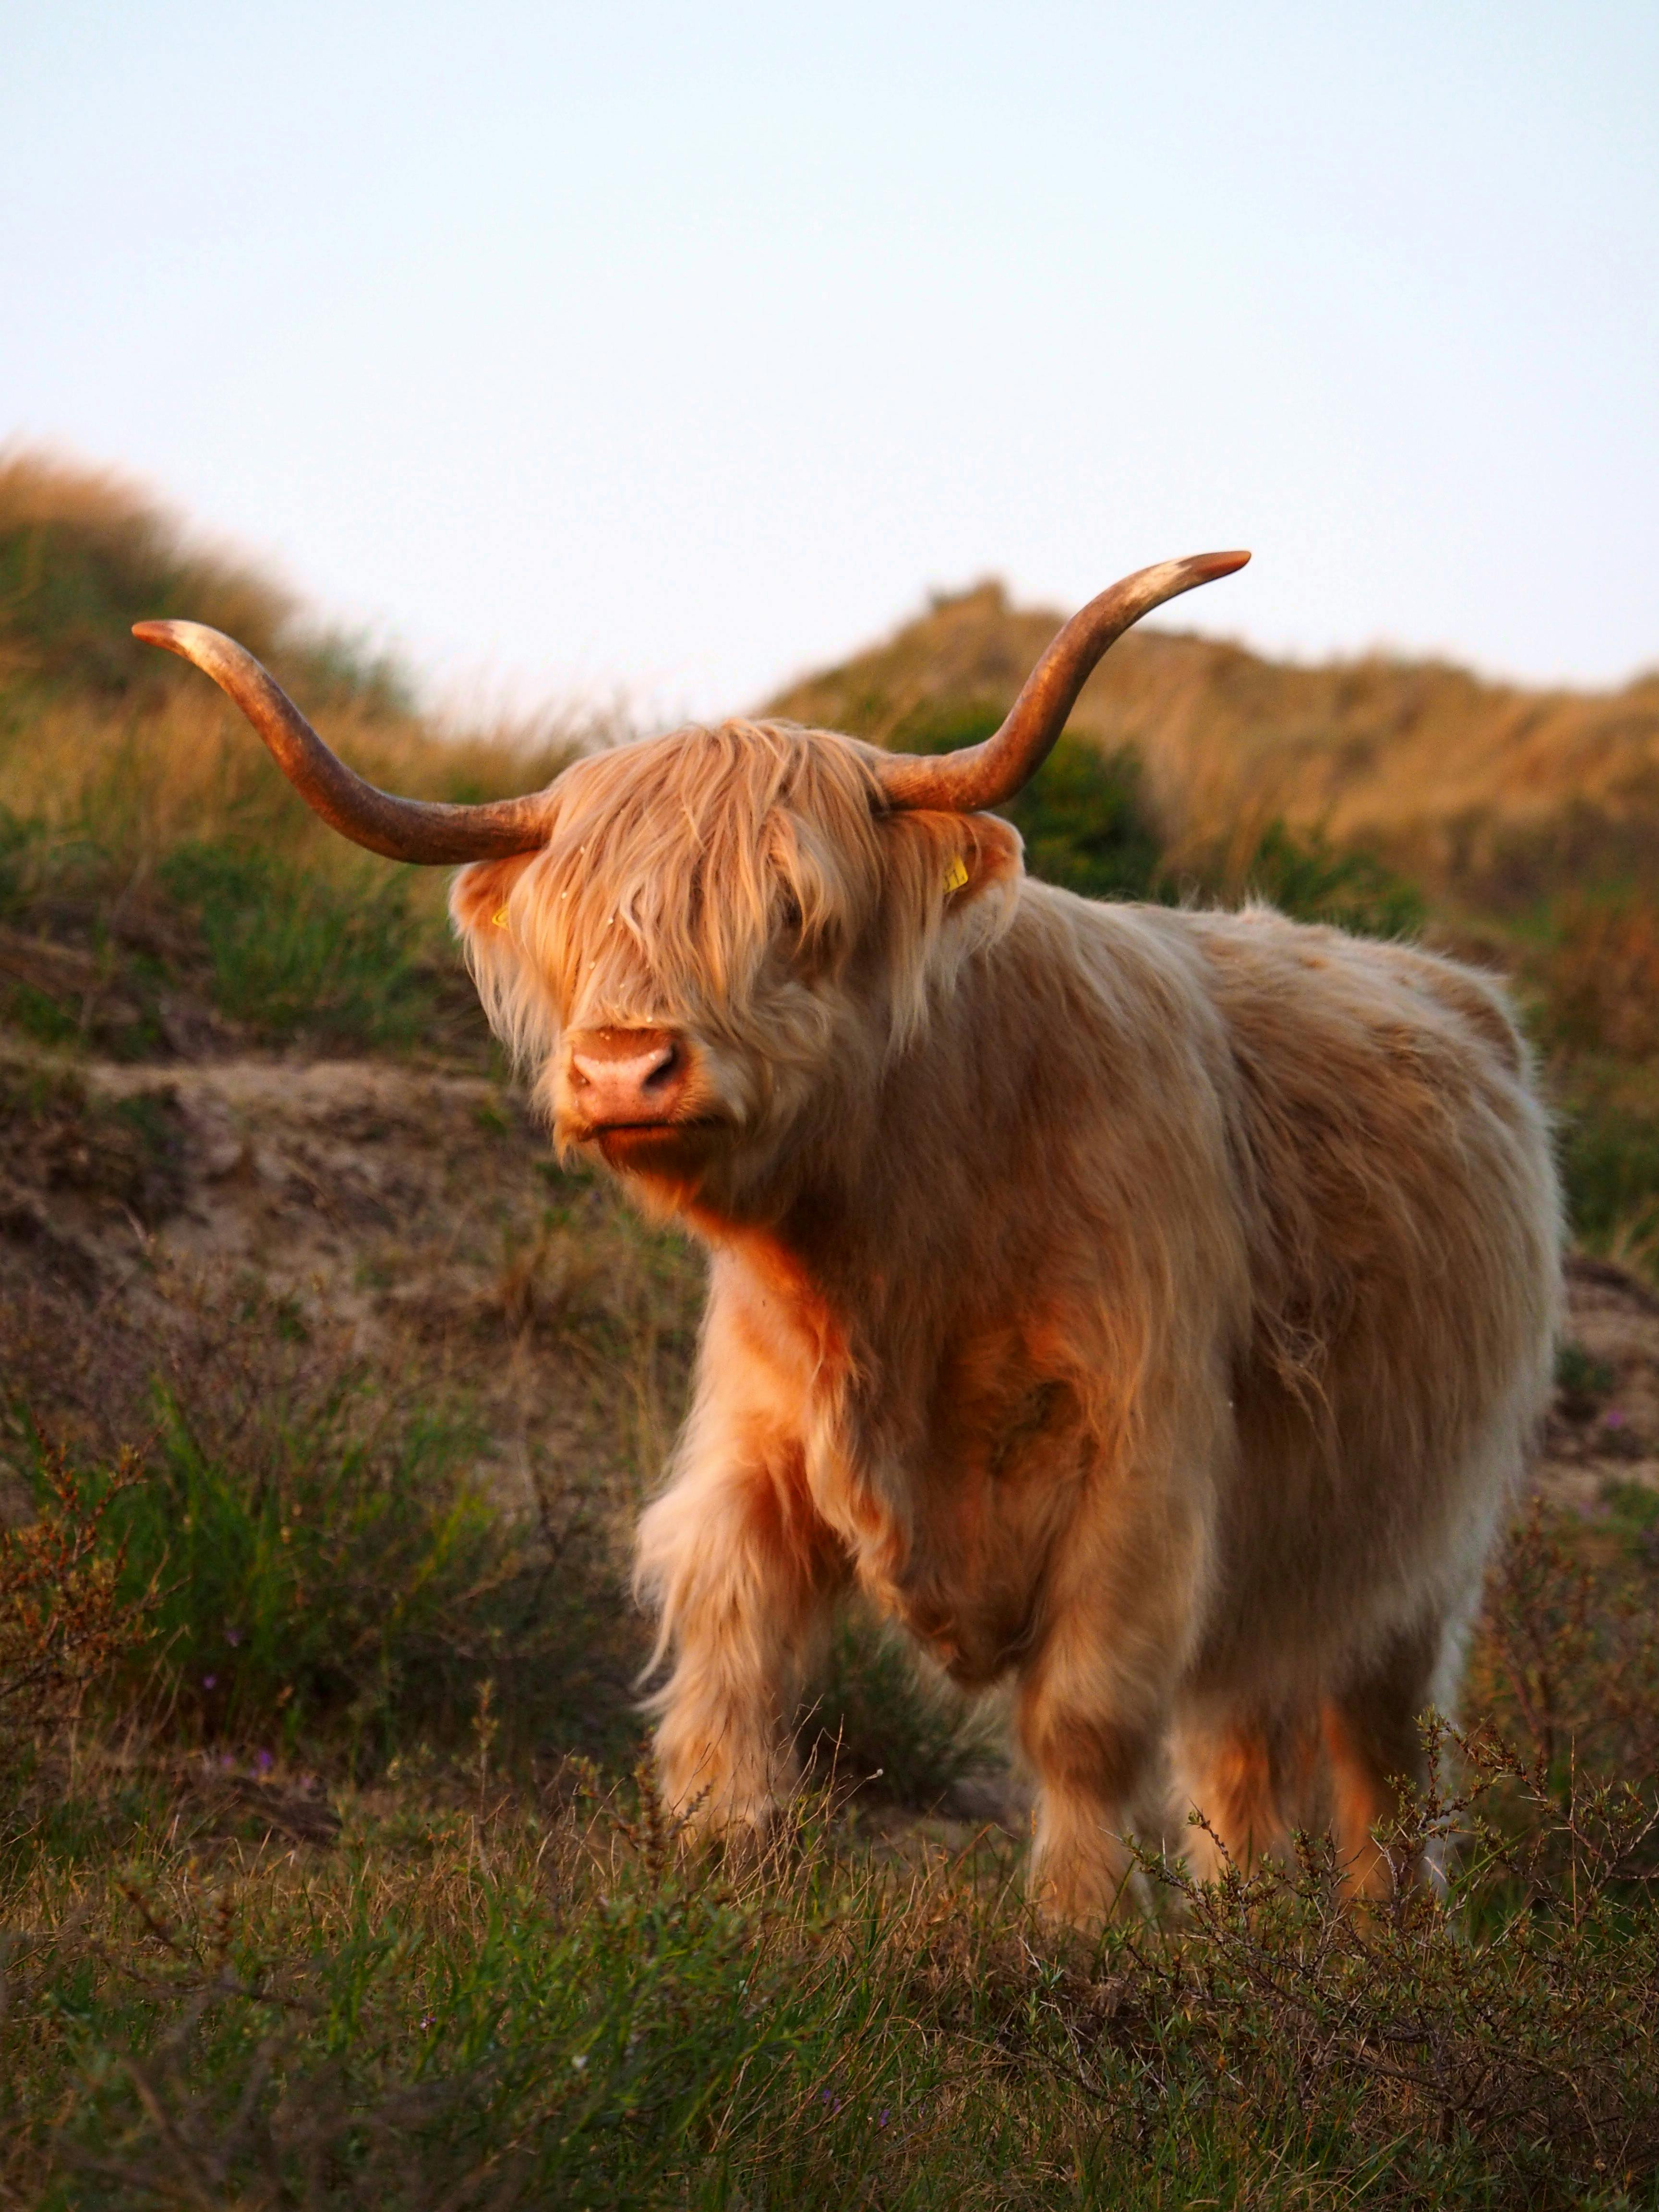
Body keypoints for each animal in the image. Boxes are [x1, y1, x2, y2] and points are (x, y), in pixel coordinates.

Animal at [135, 552, 1560, 1920]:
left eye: (791, 915)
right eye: (577, 925)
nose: (622, 1070)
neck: (903, 1241)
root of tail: (1461, 990)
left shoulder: (1142, 1466)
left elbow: (1085, 1720)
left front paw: (1079, 1930)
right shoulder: (755, 1440)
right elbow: (728, 1660)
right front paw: (714, 1869)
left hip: (1419, 1553)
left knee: (1387, 1757)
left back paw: (1385, 1943)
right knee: (1240, 1747)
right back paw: (1245, 1931)